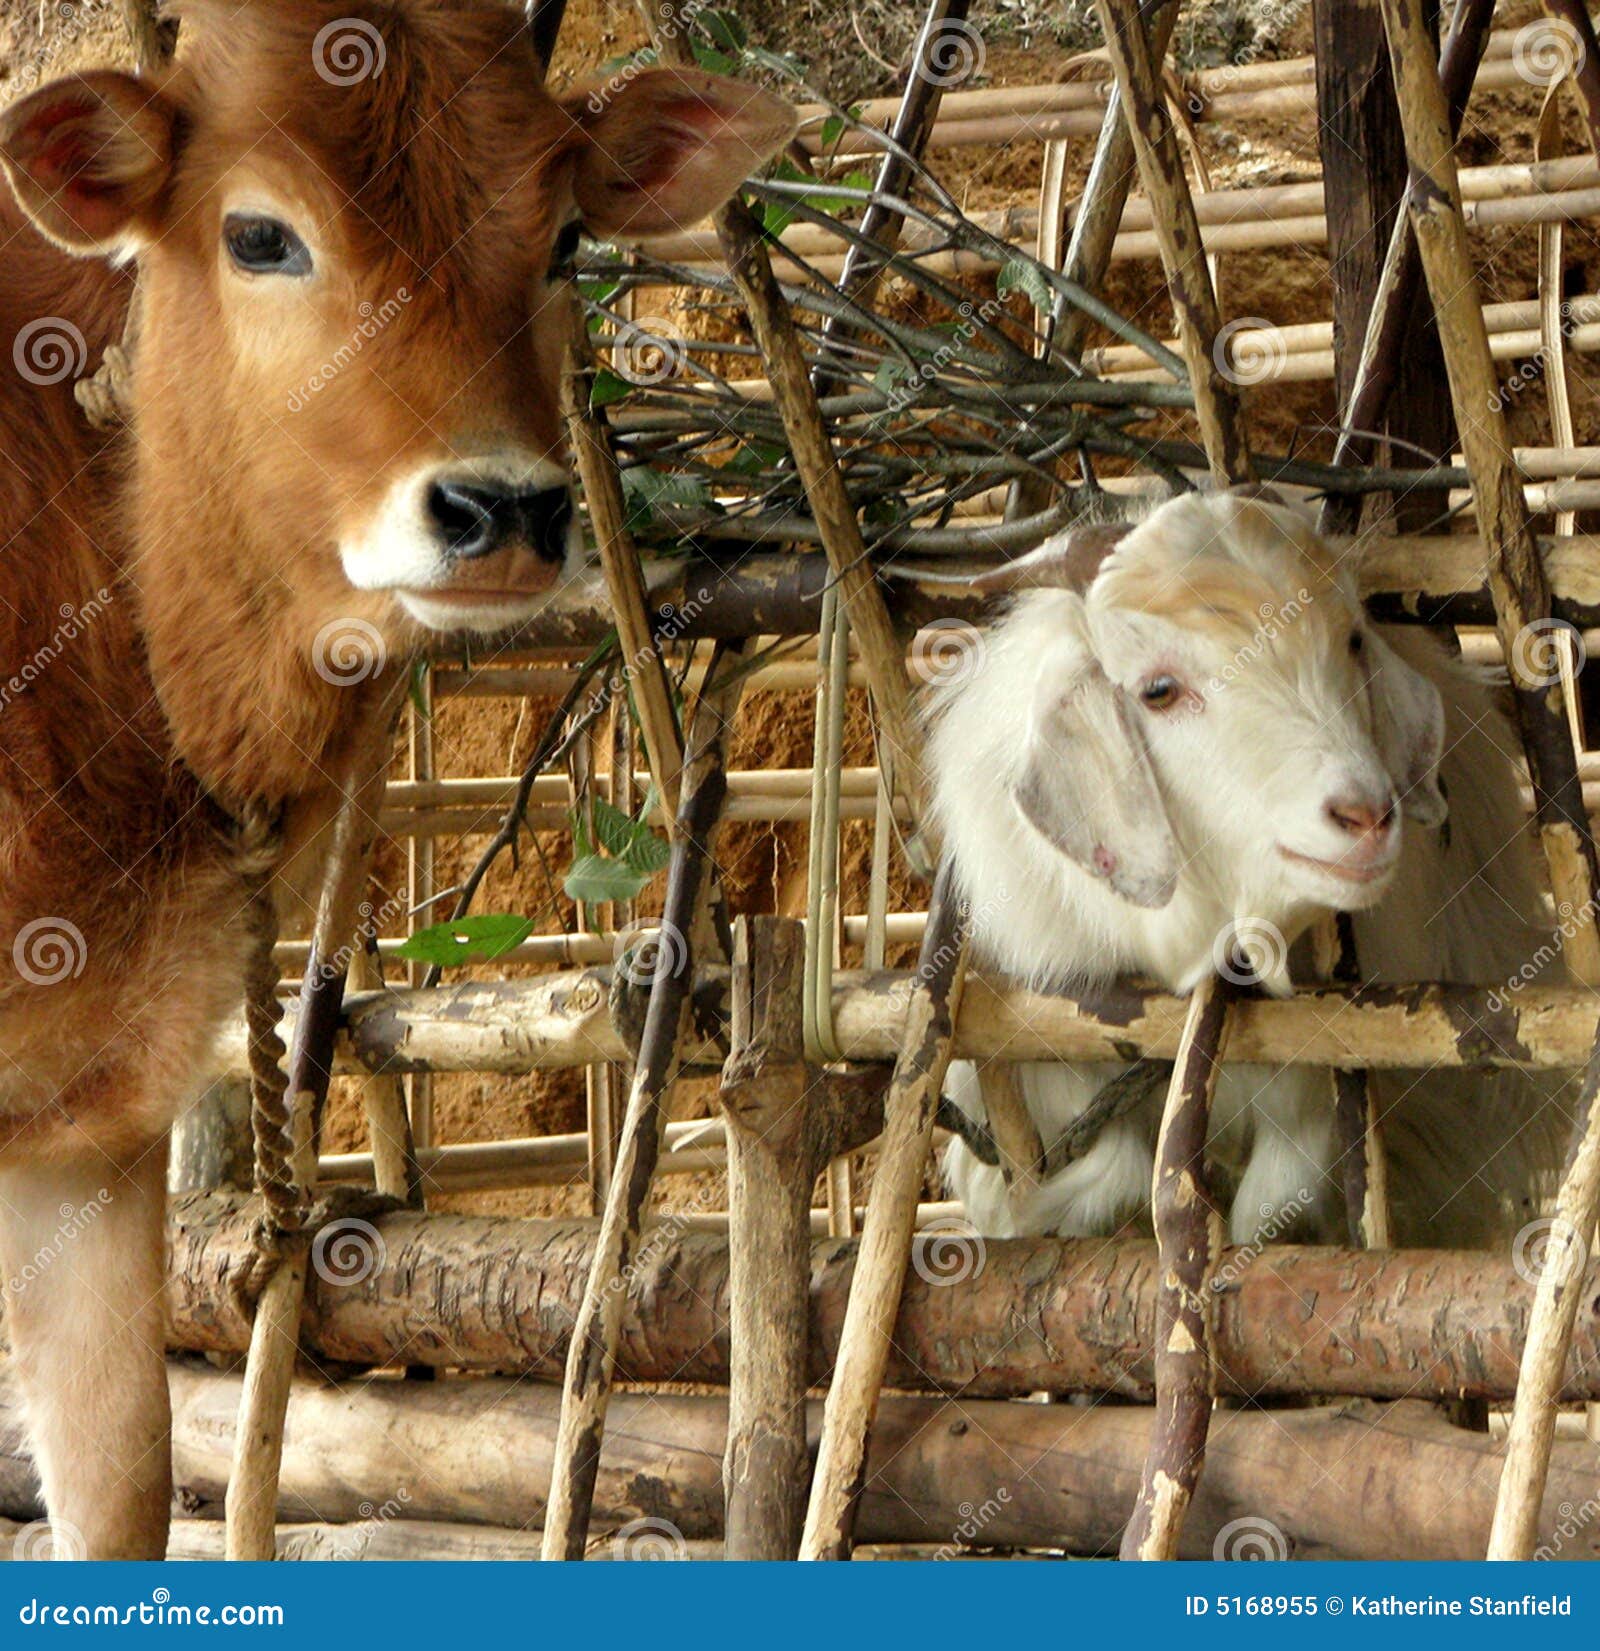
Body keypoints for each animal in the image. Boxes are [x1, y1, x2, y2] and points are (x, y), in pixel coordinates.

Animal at [930, 489, 1568, 1248]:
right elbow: (1106, 1182)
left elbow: (1271, 1211)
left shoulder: (1314, 1097)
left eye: (1352, 641)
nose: (1364, 815)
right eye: (1159, 689)